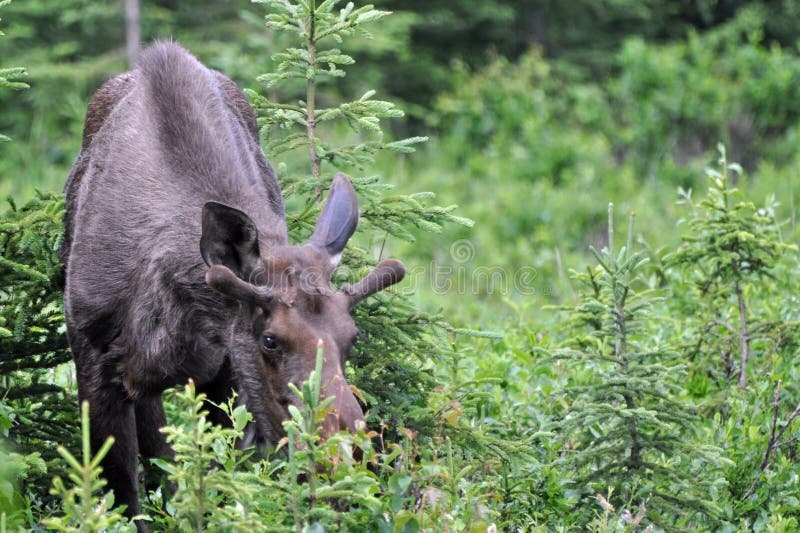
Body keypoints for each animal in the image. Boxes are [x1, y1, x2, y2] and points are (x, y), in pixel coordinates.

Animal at [60, 41, 405, 531]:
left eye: (352, 337)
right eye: (270, 340)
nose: (344, 454)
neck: (170, 308)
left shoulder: (222, 372)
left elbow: (216, 478)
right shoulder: (91, 350)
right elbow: (121, 491)